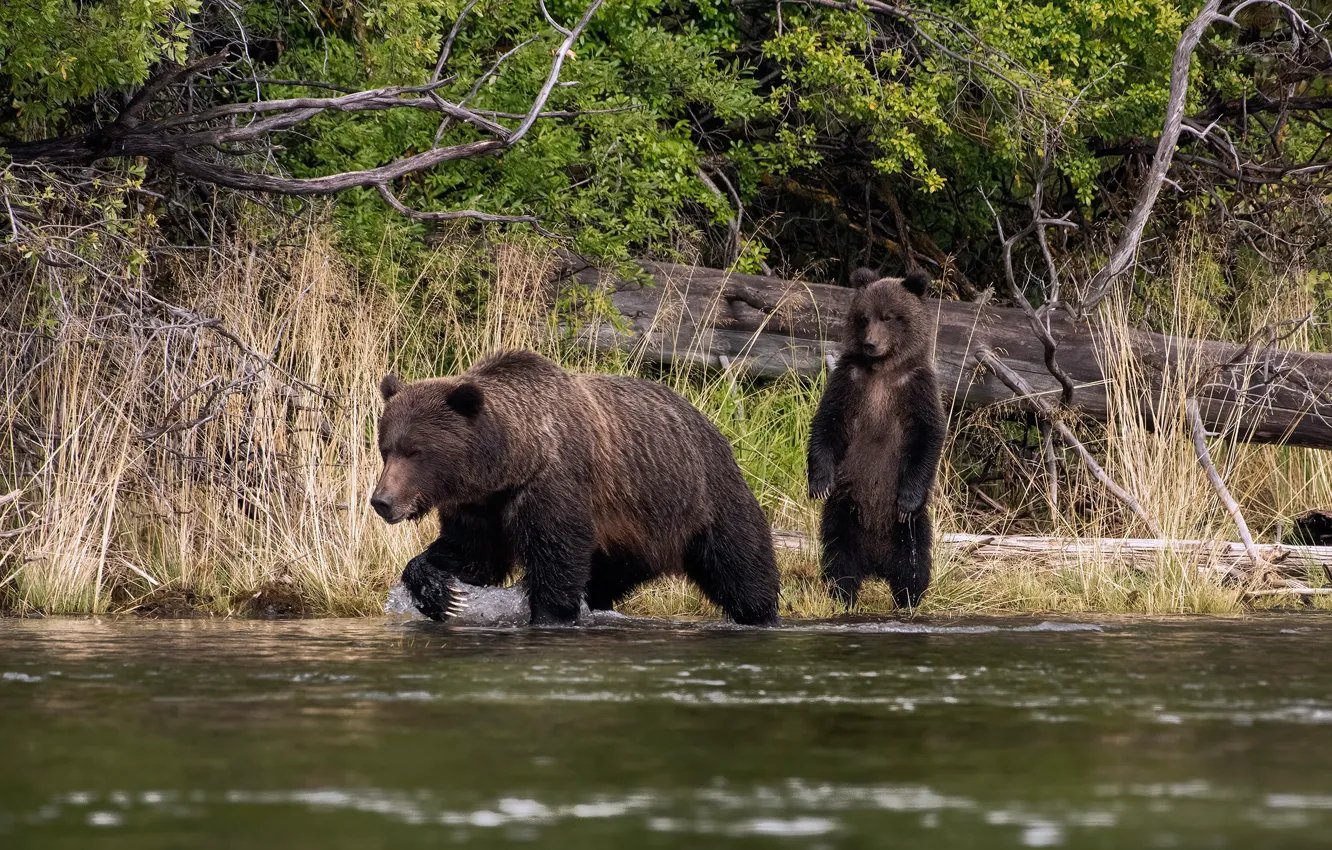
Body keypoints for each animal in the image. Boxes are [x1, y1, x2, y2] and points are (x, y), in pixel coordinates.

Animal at [371, 349, 781, 626]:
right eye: (386, 449)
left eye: (415, 451)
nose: (382, 501)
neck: (512, 461)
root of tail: (709, 424)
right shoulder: (482, 506)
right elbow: (473, 555)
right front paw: (441, 592)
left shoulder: (552, 486)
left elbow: (557, 559)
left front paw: (549, 616)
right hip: (631, 535)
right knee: (608, 577)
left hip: (701, 498)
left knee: (740, 561)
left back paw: (760, 615)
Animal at [806, 268, 946, 609]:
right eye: (863, 317)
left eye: (889, 316)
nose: (870, 343)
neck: (882, 370)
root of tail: (876, 565)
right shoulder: (849, 382)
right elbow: (827, 424)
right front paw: (819, 482)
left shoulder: (917, 386)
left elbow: (928, 435)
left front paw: (907, 499)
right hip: (844, 511)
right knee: (837, 555)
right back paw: (843, 594)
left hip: (907, 530)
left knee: (914, 561)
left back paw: (906, 598)